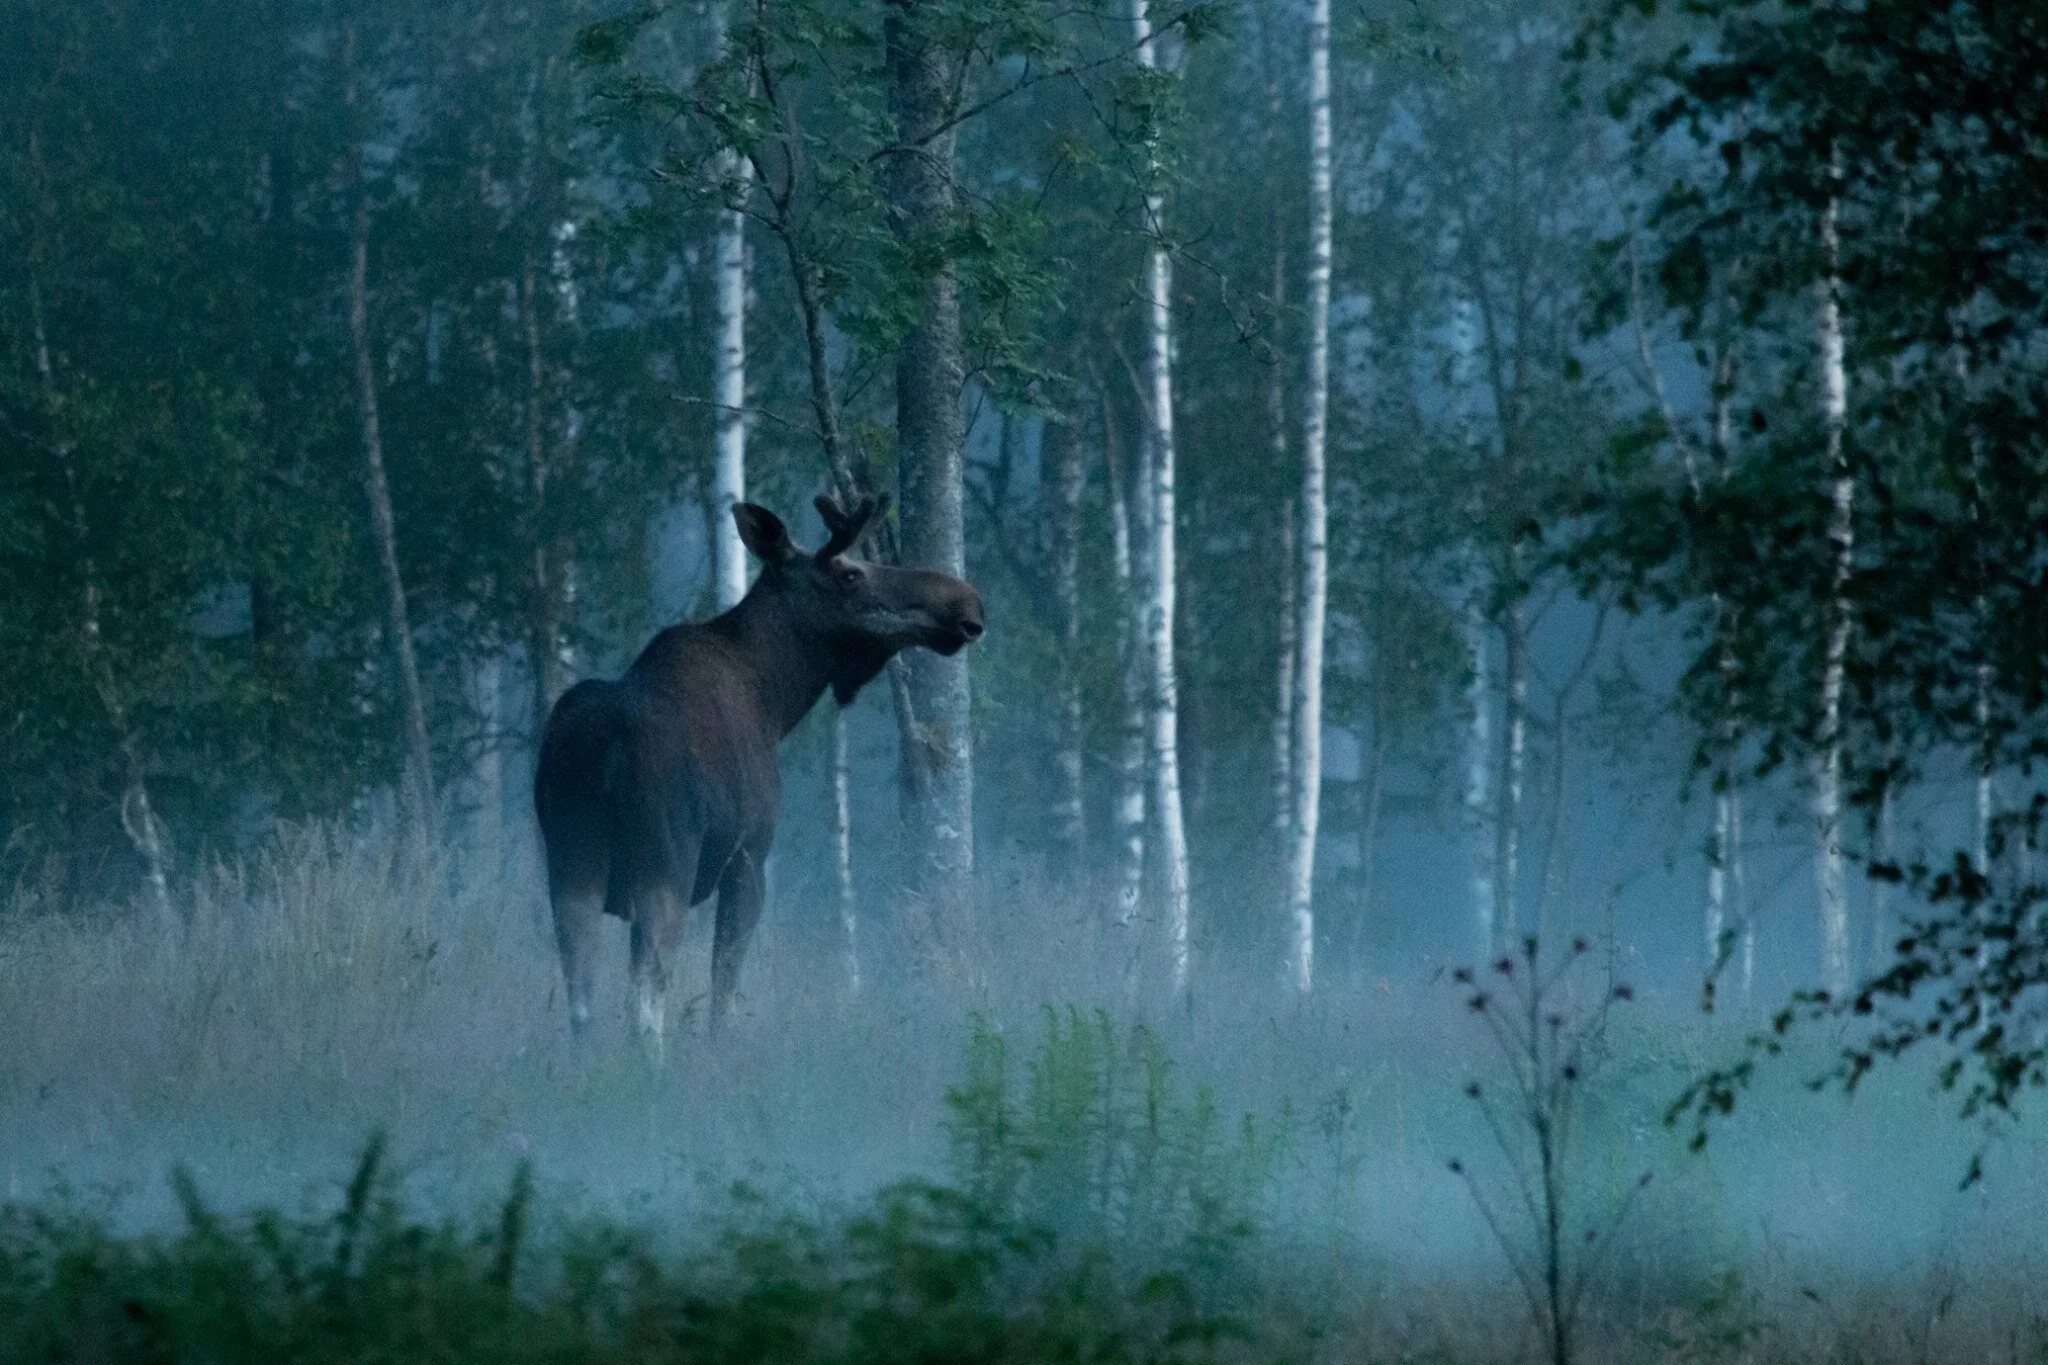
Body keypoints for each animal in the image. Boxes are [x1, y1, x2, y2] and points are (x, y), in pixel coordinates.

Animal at [533, 494, 983, 1053]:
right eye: (851, 573)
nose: (966, 603)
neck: (777, 699)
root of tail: (604, 751)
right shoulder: (748, 857)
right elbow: (723, 992)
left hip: (571, 860)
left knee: (581, 992)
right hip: (665, 864)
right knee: (646, 993)